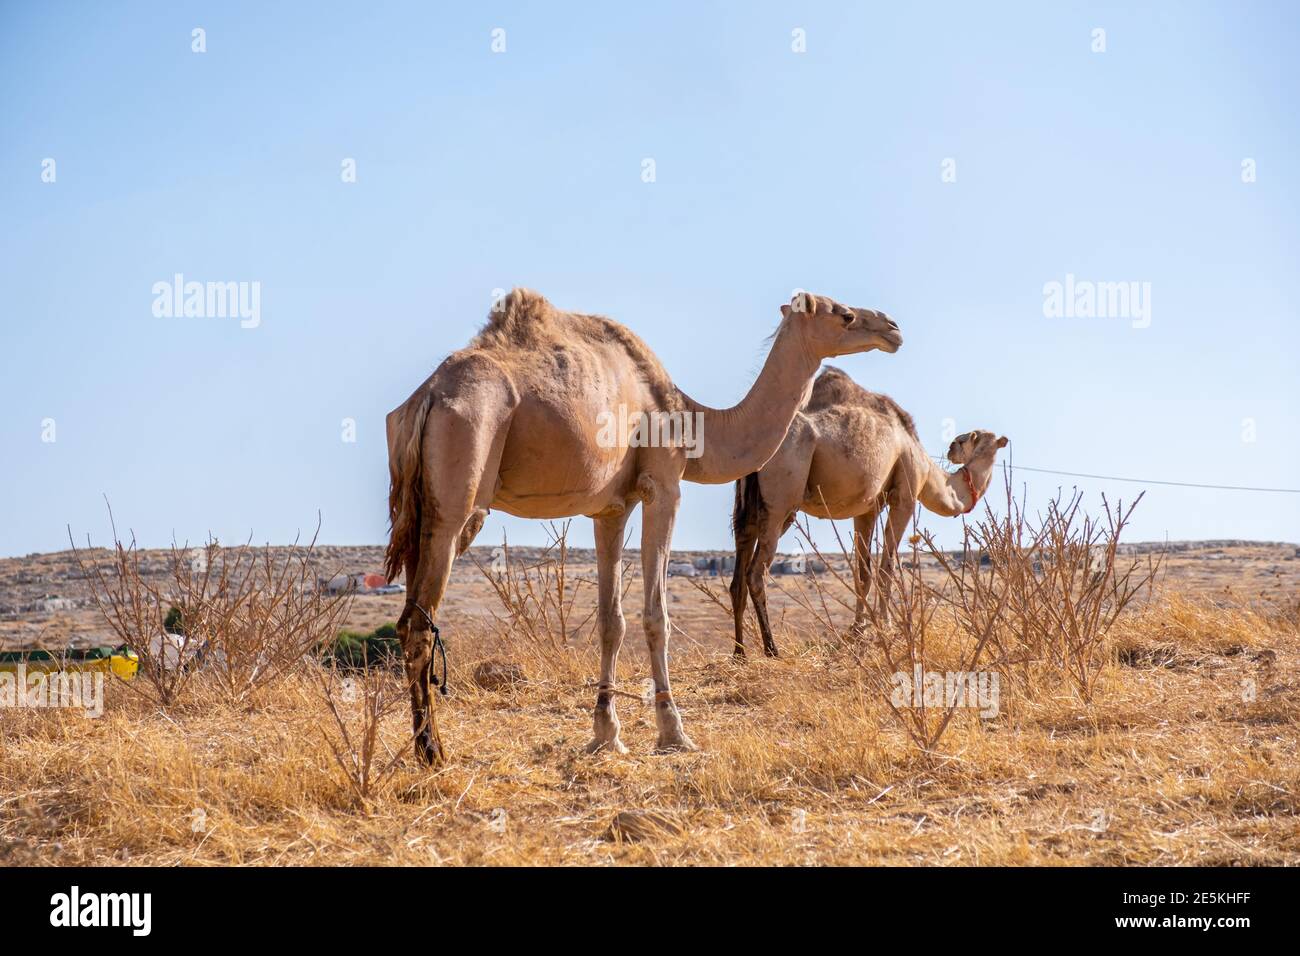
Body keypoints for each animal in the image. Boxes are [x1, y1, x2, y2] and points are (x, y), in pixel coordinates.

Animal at [386, 290, 903, 763]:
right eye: (845, 314)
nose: (893, 328)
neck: (692, 422)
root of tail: (427, 398)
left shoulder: (610, 509)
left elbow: (610, 621)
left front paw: (605, 734)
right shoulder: (664, 485)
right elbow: (656, 617)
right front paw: (673, 732)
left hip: (421, 511)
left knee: (410, 614)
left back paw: (425, 746)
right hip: (461, 484)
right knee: (419, 622)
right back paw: (432, 752)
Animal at [729, 366, 1007, 657]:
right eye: (967, 439)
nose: (952, 445)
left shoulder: (866, 508)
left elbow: (863, 573)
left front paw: (858, 630)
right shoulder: (905, 496)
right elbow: (887, 567)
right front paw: (886, 626)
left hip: (748, 503)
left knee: (738, 571)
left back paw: (740, 653)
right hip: (781, 501)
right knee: (755, 572)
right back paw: (772, 649)